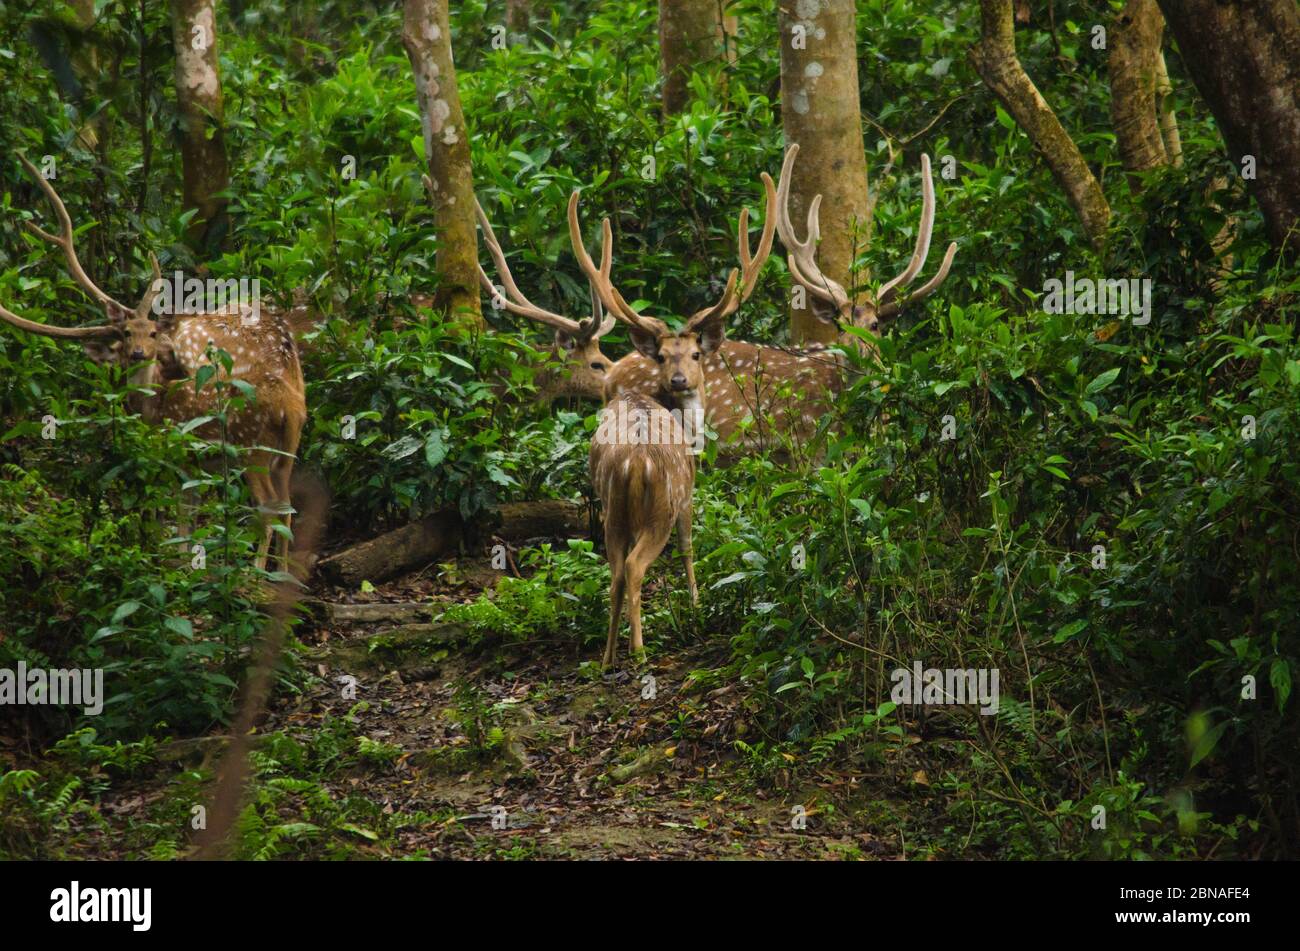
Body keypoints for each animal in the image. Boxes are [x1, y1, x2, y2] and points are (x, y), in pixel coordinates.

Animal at [0, 154, 307, 572]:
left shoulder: (177, 454)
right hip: (289, 444)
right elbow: (187, 517)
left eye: (151, 334)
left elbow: (177, 519)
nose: (140, 354)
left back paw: (257, 575)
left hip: (250, 445)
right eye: (126, 335)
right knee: (288, 508)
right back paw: (284, 577)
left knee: (269, 509)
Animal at [568, 188, 738, 667]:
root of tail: (635, 467)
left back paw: (609, 657)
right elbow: (689, 546)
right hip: (660, 507)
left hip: (611, 511)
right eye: (662, 356)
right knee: (634, 566)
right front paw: (697, 606)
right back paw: (641, 650)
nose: (680, 380)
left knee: (613, 572)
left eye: (695, 355)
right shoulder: (688, 494)